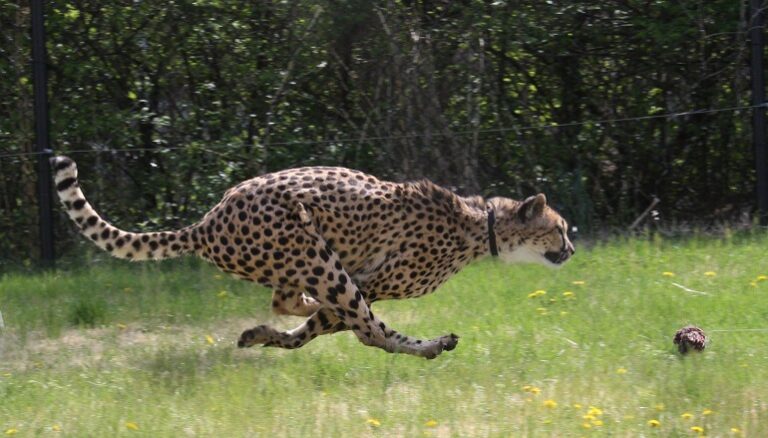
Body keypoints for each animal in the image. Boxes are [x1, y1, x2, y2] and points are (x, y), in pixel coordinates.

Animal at [51, 156, 574, 359]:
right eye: (560, 228)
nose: (571, 248)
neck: (481, 224)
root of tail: (206, 221)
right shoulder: (373, 282)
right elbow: (349, 324)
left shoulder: (360, 285)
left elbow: (316, 326)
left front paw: (268, 334)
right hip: (314, 251)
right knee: (369, 332)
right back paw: (431, 345)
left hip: (309, 262)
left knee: (289, 302)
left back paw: (270, 325)